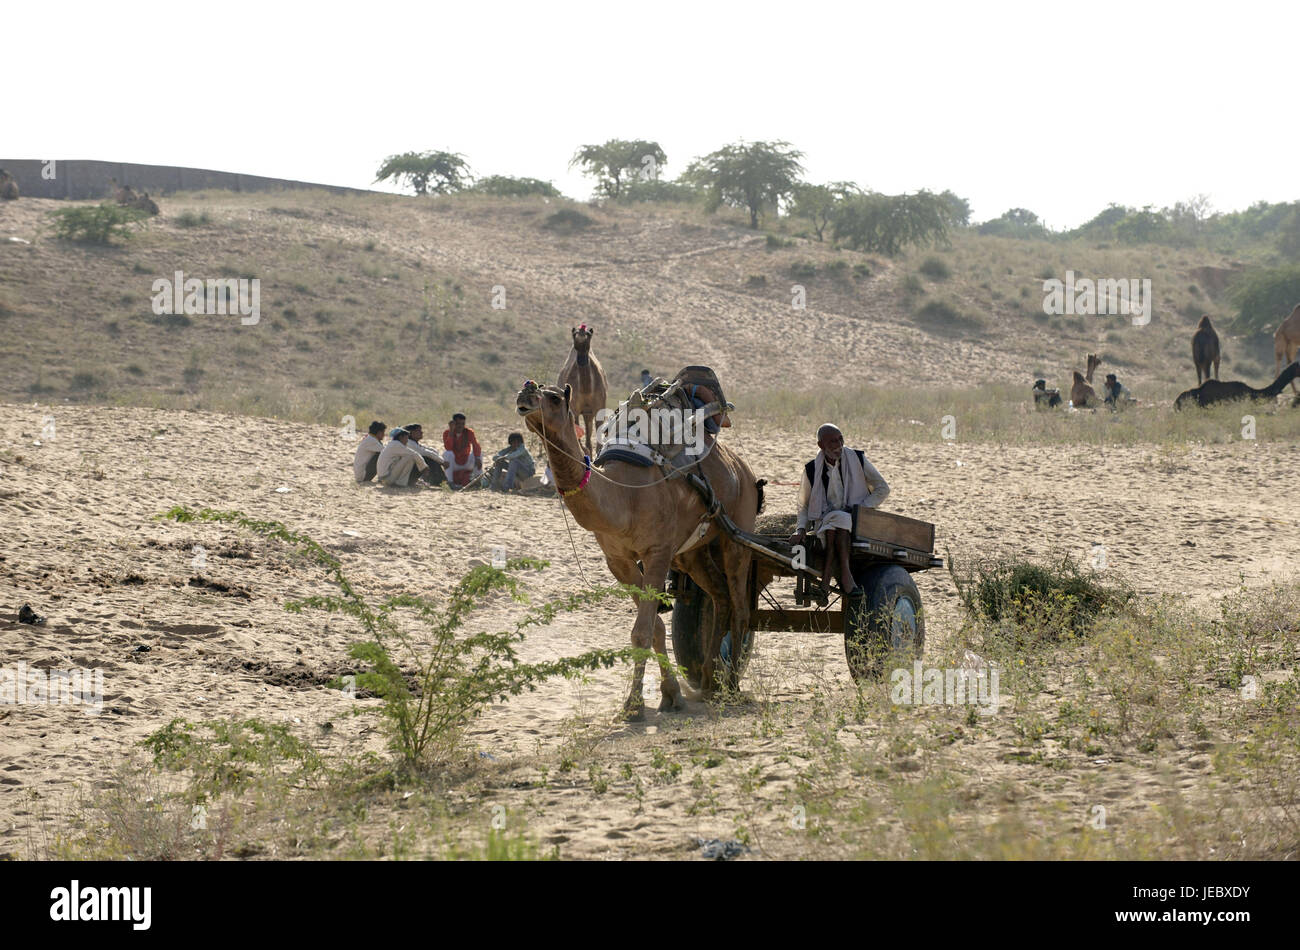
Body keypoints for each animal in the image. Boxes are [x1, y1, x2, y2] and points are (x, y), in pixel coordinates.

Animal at [516, 380, 763, 720]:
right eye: (530, 387)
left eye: (553, 397)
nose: (525, 393)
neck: (623, 497)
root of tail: (745, 471)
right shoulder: (618, 560)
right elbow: (654, 627)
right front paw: (670, 695)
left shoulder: (657, 552)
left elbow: (642, 631)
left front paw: (634, 706)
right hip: (692, 554)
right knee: (721, 598)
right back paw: (708, 682)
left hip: (737, 532)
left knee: (741, 608)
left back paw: (732, 686)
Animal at [556, 324, 608, 458]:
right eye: (574, 334)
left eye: (589, 334)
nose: (581, 334)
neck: (587, 390)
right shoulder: (574, 408)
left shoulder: (599, 406)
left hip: (588, 412)